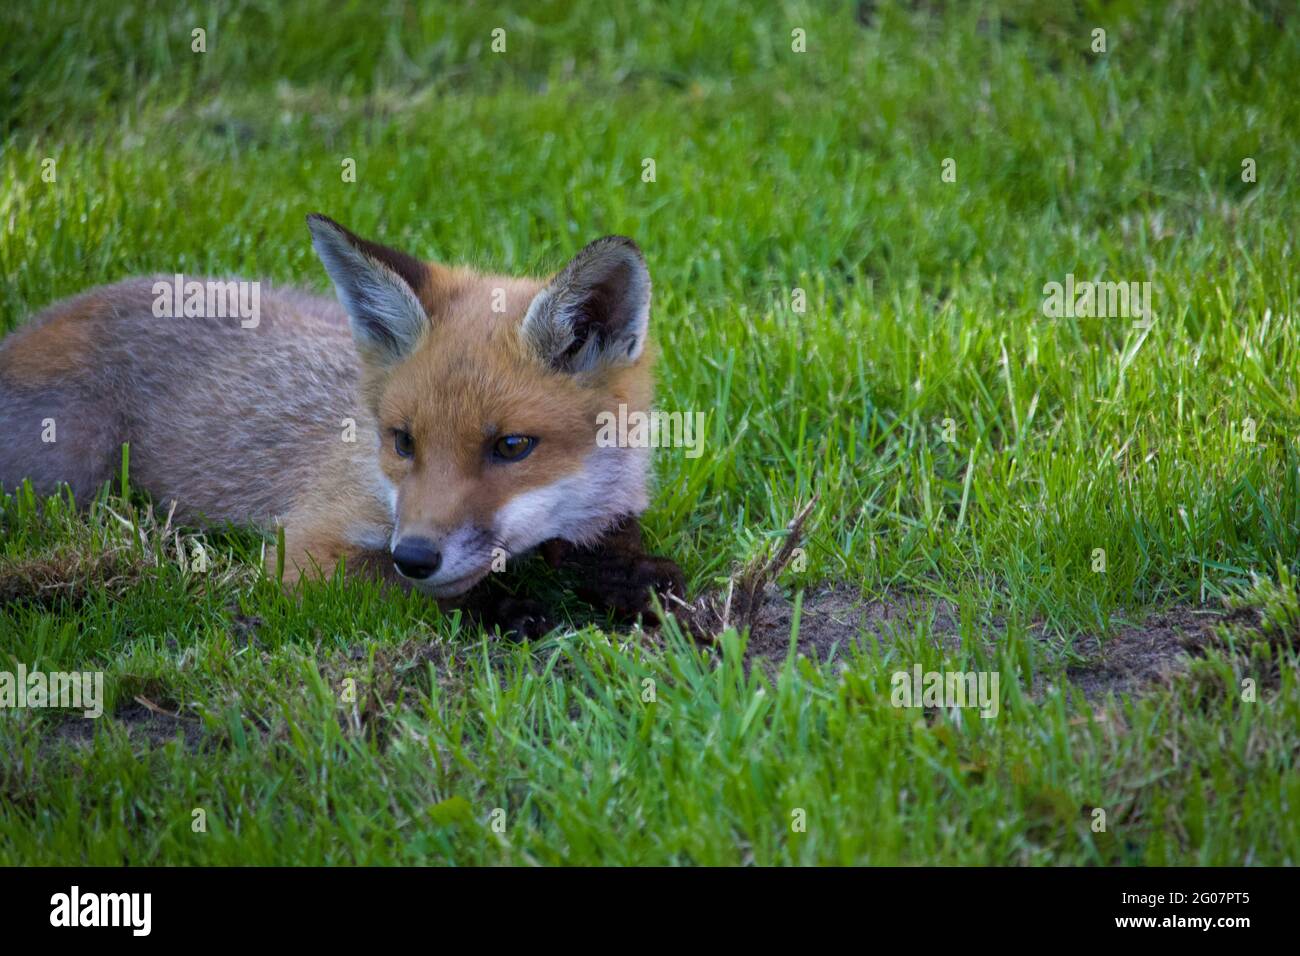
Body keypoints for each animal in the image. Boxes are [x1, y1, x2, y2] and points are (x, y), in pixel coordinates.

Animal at [0, 215, 685, 634]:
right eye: (403, 442)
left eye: (512, 446)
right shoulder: (304, 552)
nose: (415, 555)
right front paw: (510, 608)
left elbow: (618, 551)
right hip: (67, 480)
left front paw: (642, 586)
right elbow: (422, 592)